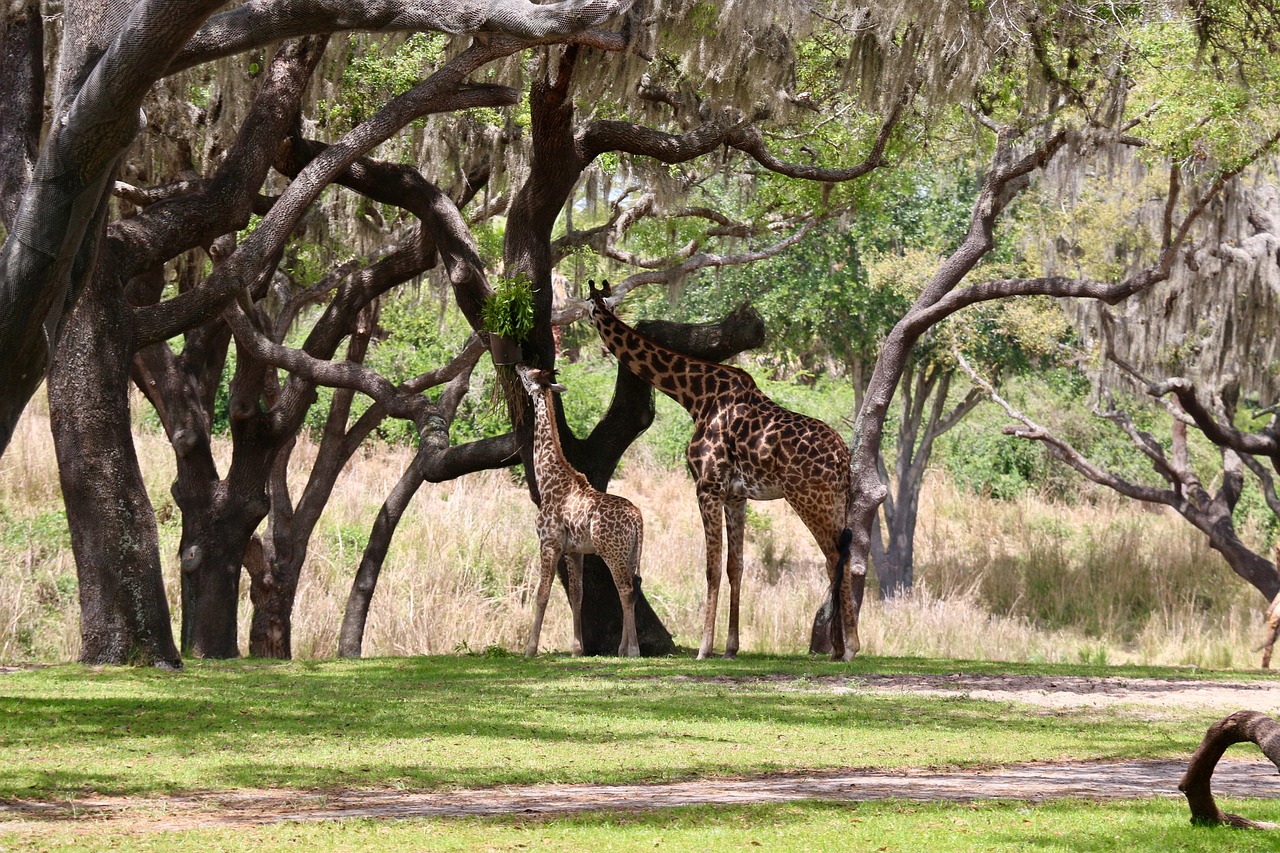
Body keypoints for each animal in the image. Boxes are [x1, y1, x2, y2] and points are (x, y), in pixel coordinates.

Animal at [517, 365, 643, 658]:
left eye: (530, 373)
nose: (517, 366)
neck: (548, 480)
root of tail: (637, 519)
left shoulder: (548, 542)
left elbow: (542, 592)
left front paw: (530, 649)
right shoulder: (574, 550)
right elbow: (577, 594)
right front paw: (577, 649)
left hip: (612, 550)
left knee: (625, 589)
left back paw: (632, 650)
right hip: (632, 553)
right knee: (631, 588)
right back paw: (622, 648)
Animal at [585, 280, 858, 660]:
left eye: (588, 307)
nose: (589, 330)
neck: (695, 396)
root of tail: (844, 458)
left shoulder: (707, 486)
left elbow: (712, 568)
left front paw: (704, 649)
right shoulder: (735, 496)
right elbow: (735, 567)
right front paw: (730, 647)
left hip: (809, 499)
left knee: (834, 556)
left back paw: (846, 649)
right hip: (834, 501)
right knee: (846, 555)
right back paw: (844, 647)